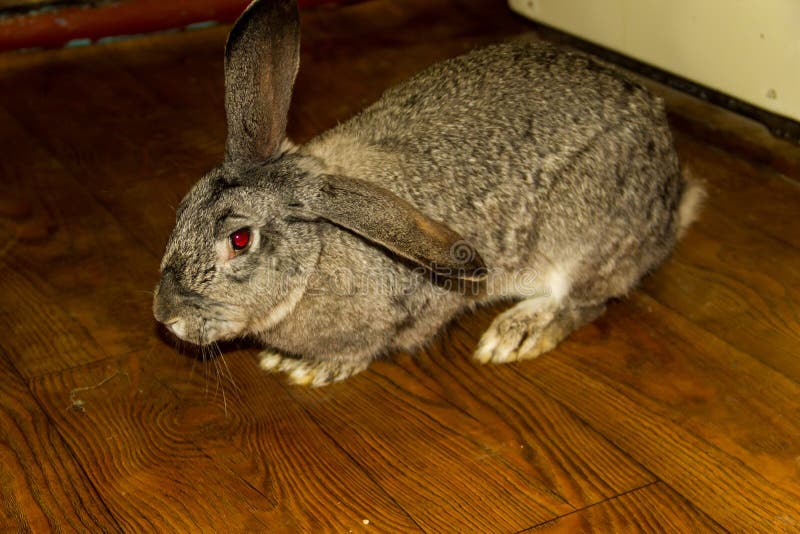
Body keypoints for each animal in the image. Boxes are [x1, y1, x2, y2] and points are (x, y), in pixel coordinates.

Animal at [153, 0, 704, 387]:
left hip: (584, 239)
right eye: (182, 209)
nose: (165, 316)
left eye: (240, 240)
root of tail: (672, 198)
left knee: (584, 300)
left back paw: (518, 332)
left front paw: (312, 368)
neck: (319, 248)